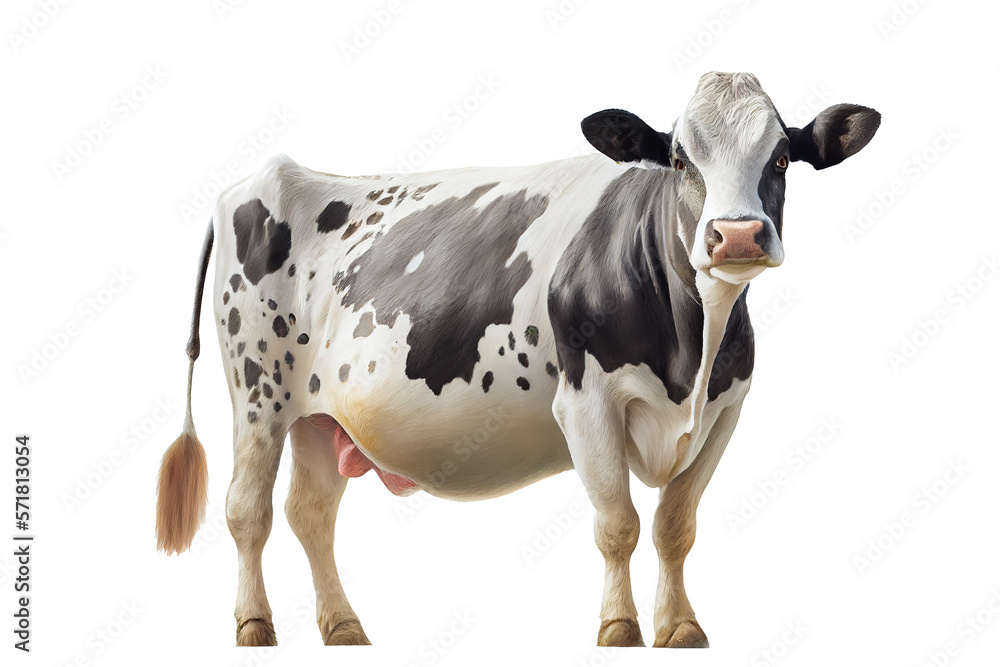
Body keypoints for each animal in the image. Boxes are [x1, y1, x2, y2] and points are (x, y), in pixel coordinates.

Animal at [156, 72, 879, 648]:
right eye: (679, 158)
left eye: (781, 157)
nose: (736, 235)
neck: (689, 358)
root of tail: (260, 179)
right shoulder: (586, 402)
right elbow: (618, 524)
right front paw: (619, 628)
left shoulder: (725, 411)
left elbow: (675, 526)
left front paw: (680, 628)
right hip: (257, 395)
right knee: (247, 512)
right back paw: (255, 625)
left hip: (318, 414)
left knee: (310, 513)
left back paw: (344, 627)